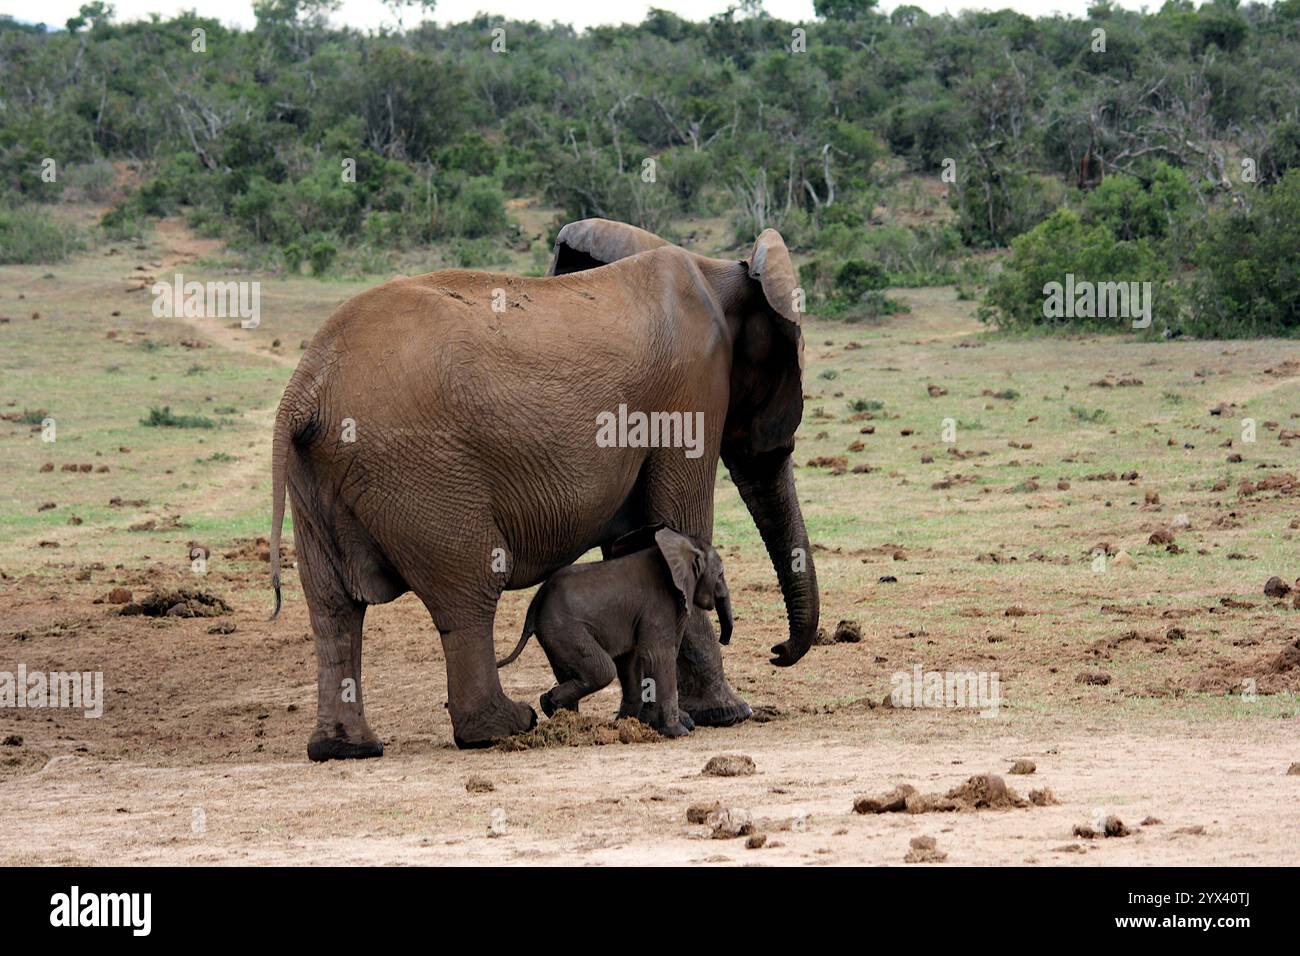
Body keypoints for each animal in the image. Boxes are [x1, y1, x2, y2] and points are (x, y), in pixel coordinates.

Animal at [495, 525, 732, 737]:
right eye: (721, 574)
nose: (725, 640)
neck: (681, 545)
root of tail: (534, 603)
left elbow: (631, 661)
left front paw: (628, 725)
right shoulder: (658, 605)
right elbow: (657, 656)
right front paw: (676, 733)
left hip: (554, 633)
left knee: (569, 671)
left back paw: (565, 721)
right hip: (563, 628)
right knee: (602, 670)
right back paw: (549, 705)